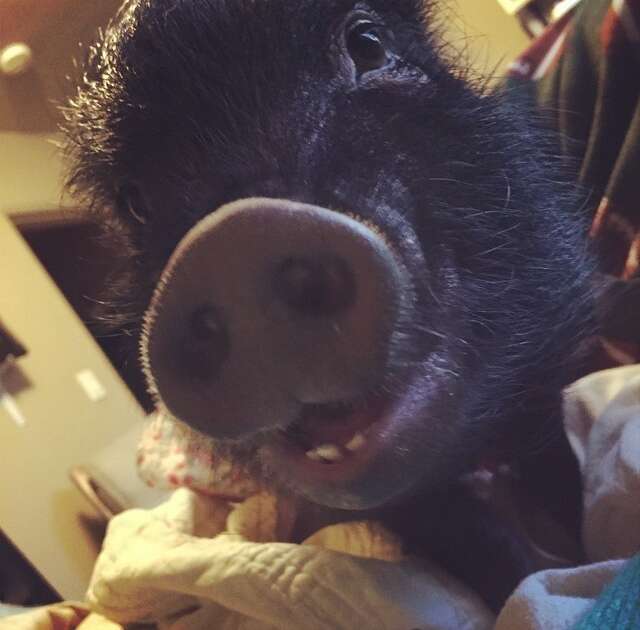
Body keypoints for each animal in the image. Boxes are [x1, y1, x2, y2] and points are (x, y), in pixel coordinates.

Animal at [63, 0, 595, 610]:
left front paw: (575, 548)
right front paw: (544, 572)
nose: (235, 238)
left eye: (368, 46)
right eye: (135, 202)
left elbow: (562, 477)